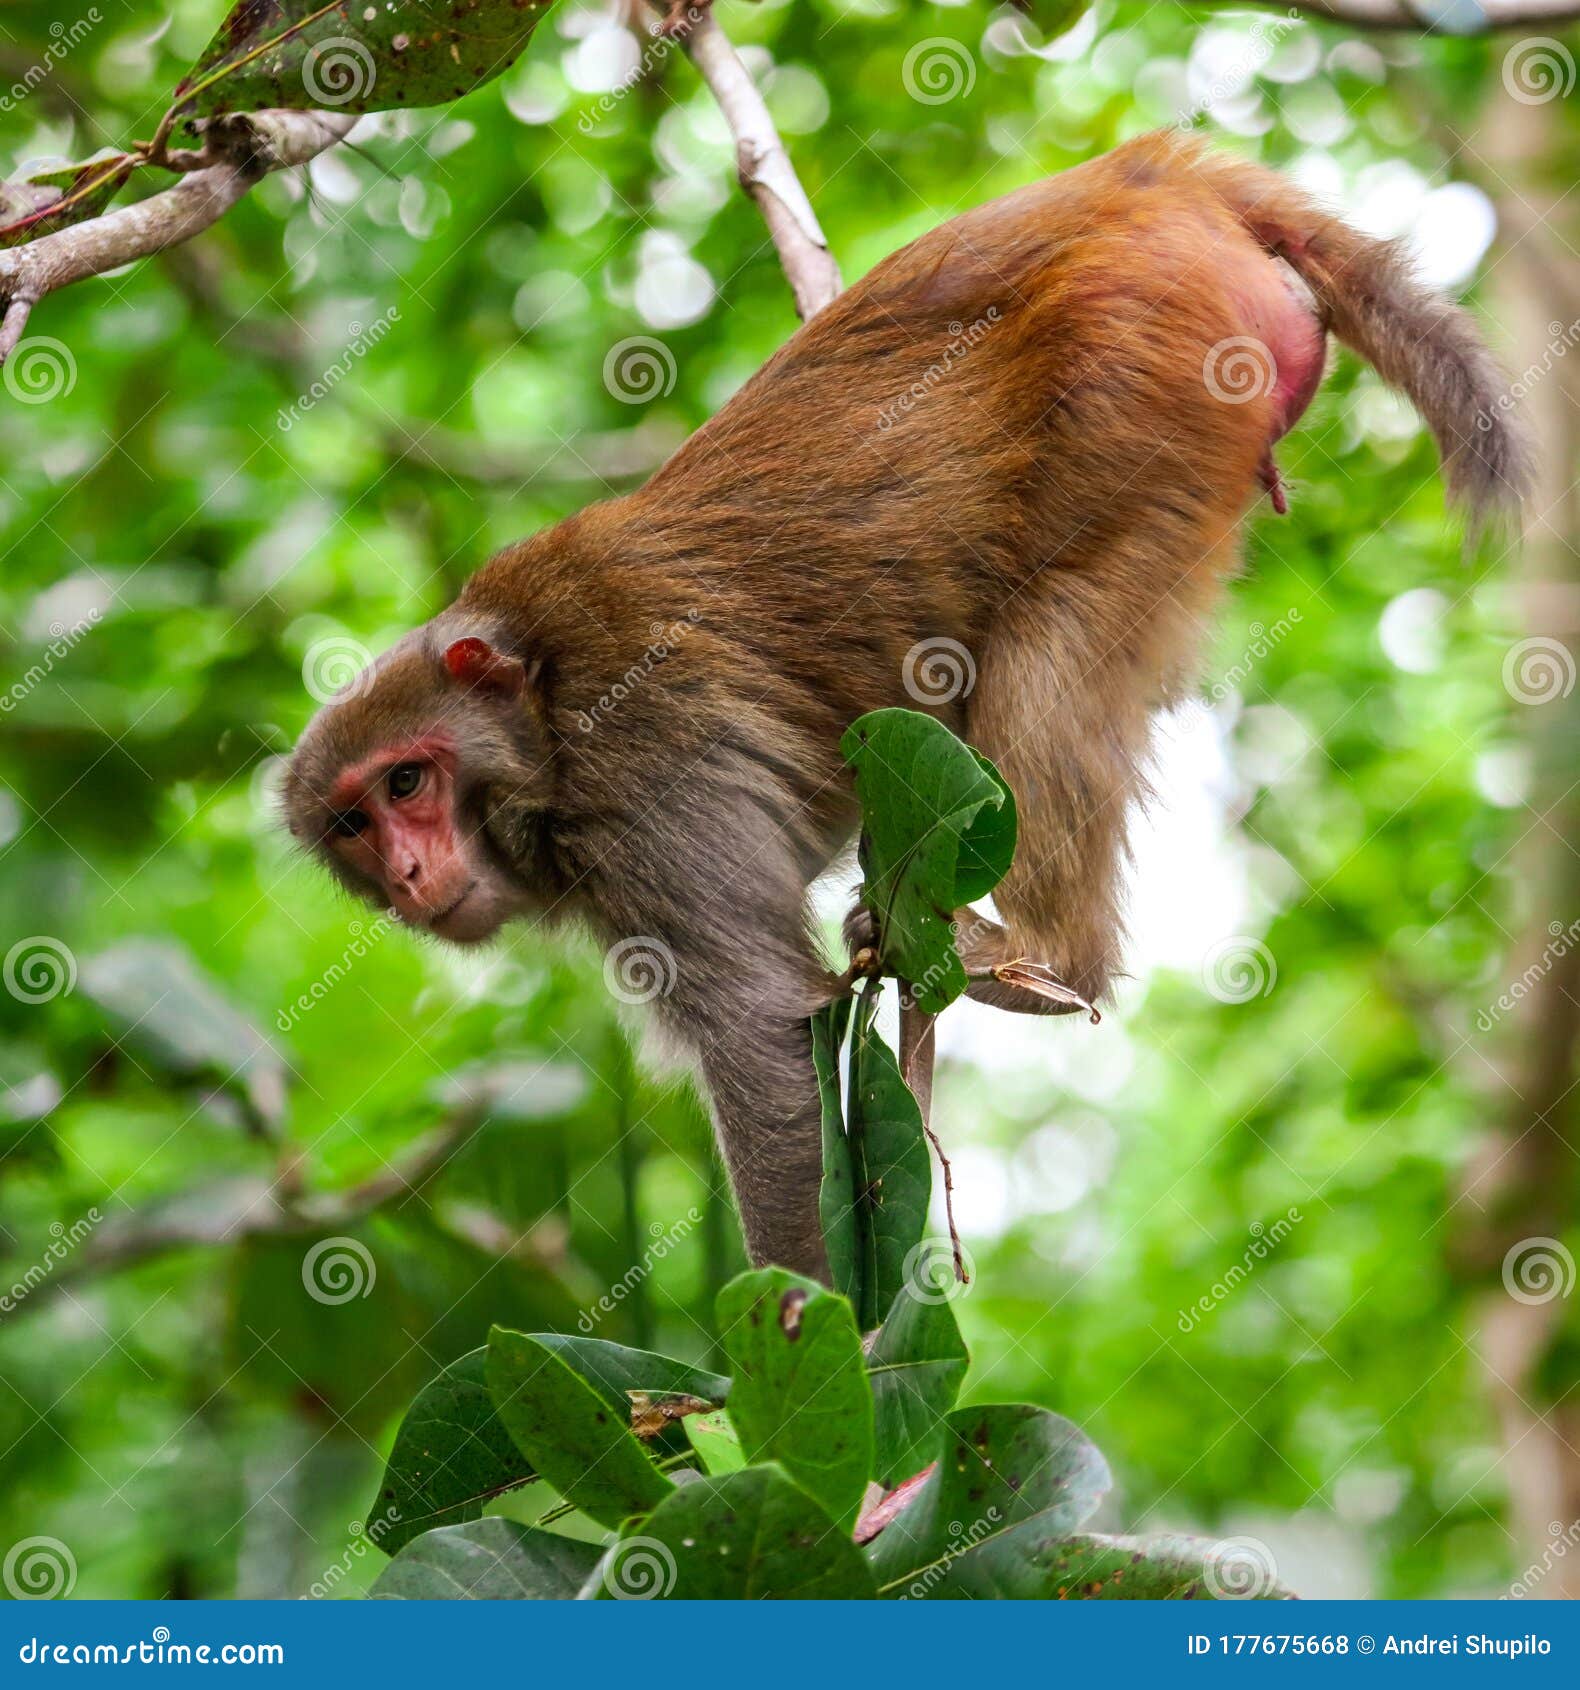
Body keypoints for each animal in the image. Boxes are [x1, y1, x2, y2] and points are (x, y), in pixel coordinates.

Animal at [283, 131, 1526, 1282]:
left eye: (409, 779)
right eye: (353, 820)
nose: (407, 871)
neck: (540, 707)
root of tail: (1142, 177)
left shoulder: (641, 778)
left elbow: (762, 1038)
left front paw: (803, 1346)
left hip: (1138, 363)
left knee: (1045, 649)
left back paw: (1048, 958)